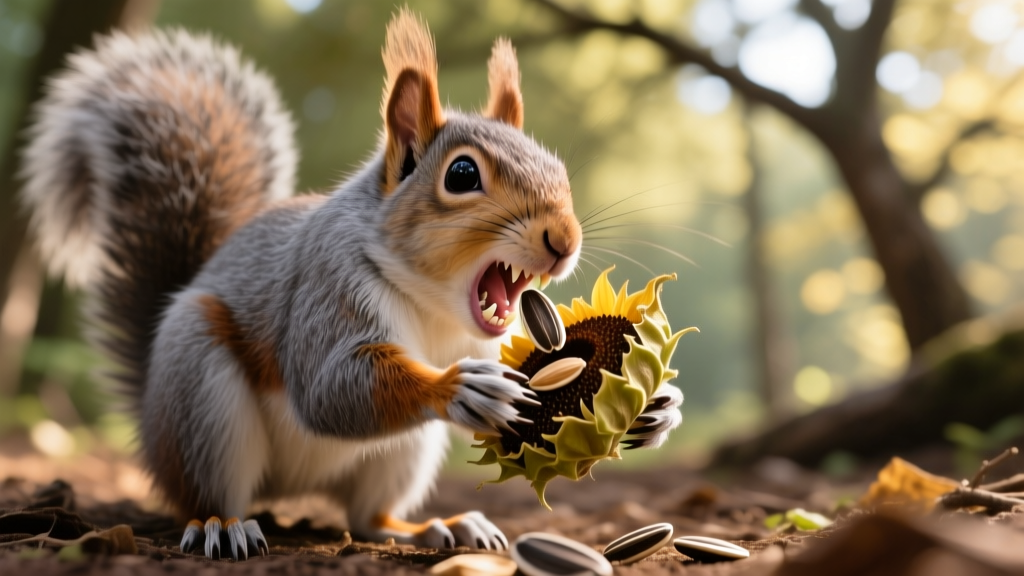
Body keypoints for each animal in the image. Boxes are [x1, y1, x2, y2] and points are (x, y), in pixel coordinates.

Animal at [19, 9, 683, 561]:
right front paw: (457, 389)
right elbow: (329, 388)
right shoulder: (326, 286)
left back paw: (437, 527)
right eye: (461, 174)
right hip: (199, 396)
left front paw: (656, 410)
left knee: (367, 518)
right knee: (208, 491)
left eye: (559, 170)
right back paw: (220, 526)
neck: (431, 304)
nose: (564, 238)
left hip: (403, 453)